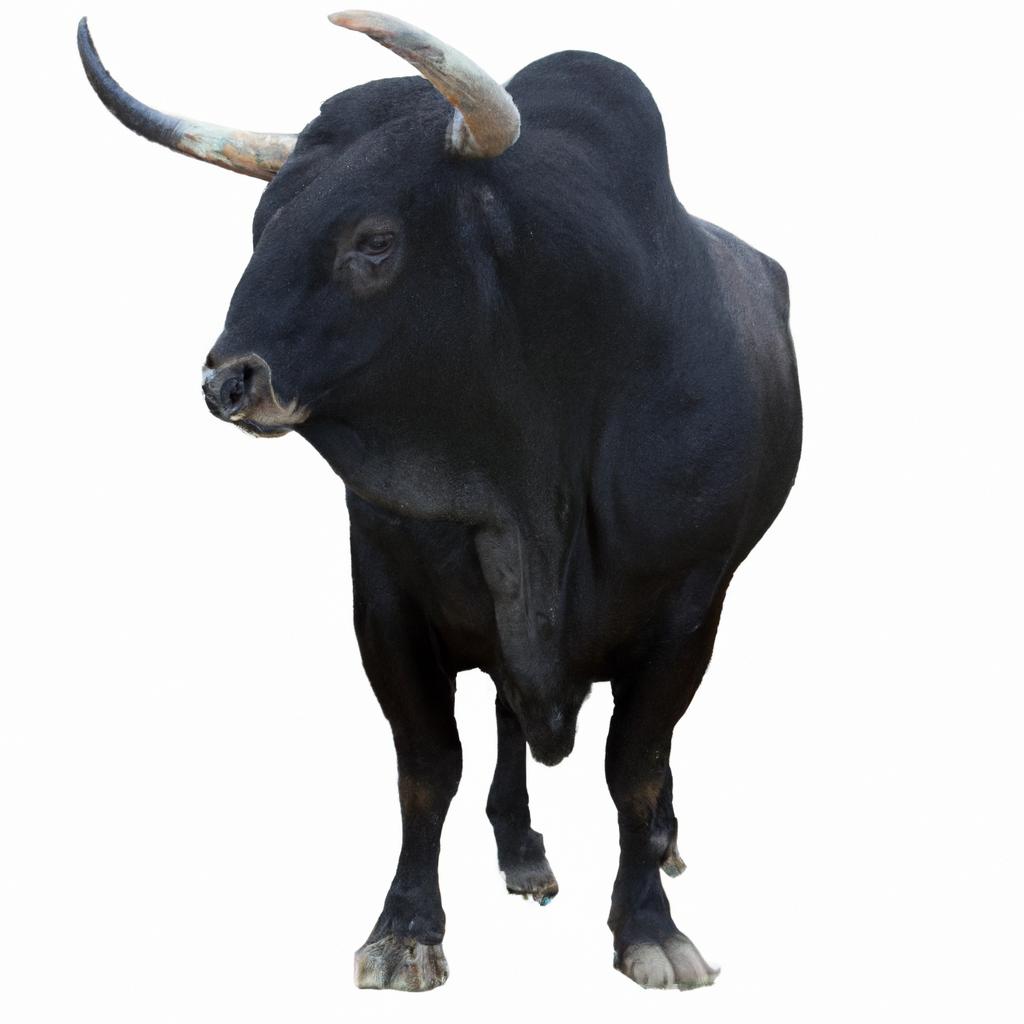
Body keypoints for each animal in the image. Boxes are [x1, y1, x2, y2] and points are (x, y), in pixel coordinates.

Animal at [78, 10, 802, 992]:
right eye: (262, 225)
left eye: (375, 240)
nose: (227, 380)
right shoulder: (388, 597)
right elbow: (428, 766)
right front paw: (406, 927)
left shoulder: (689, 608)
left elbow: (636, 768)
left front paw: (649, 923)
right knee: (502, 713)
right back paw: (522, 848)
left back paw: (660, 842)